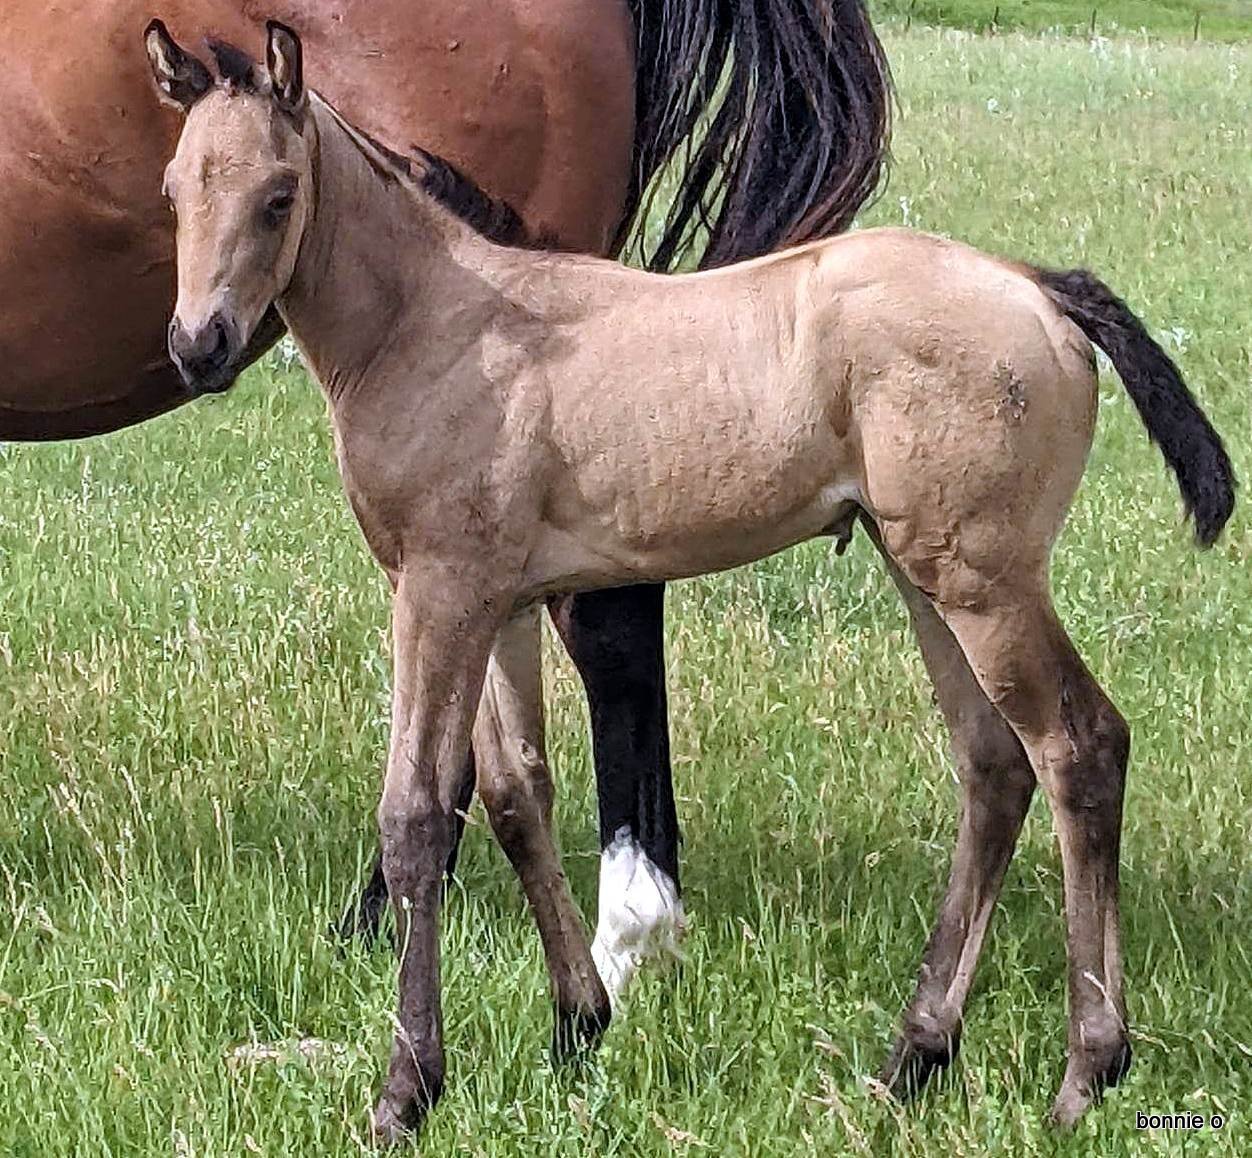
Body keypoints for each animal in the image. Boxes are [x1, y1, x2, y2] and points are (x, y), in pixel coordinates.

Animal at [149, 22, 1235, 1139]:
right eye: (175, 191)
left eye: (279, 195)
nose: (199, 347)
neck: (438, 323)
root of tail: (1038, 285)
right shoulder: (498, 601)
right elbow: (515, 795)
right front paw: (576, 1027)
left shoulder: (438, 595)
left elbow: (416, 817)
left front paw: (406, 1092)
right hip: (925, 573)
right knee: (993, 766)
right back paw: (913, 1058)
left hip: (986, 580)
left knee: (1079, 748)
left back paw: (1086, 1072)